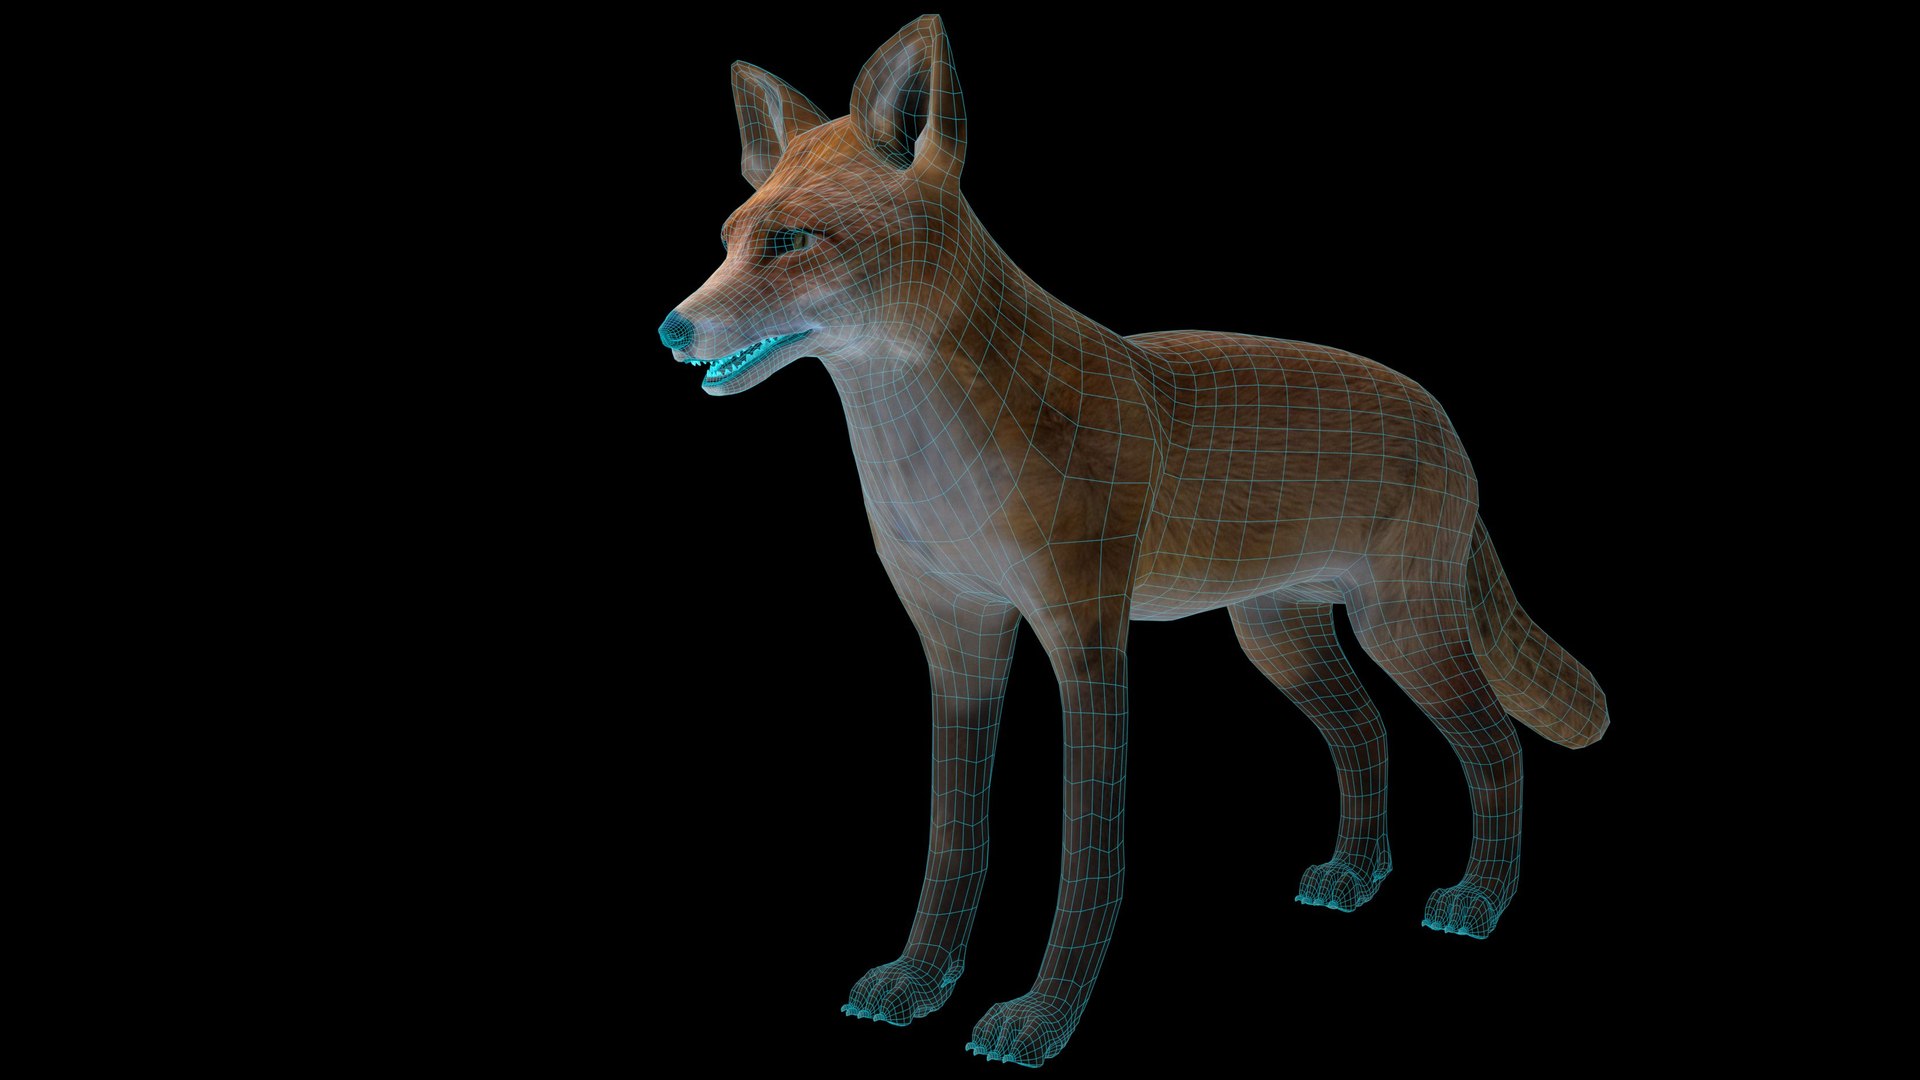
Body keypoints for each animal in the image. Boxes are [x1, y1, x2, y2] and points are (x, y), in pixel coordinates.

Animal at [659, 14, 1608, 1068]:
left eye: (787, 242)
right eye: (728, 241)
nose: (672, 330)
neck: (934, 457)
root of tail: (1440, 413)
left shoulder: (1087, 638)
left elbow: (1089, 850)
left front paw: (1039, 1020)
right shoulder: (957, 639)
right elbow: (955, 836)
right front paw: (918, 982)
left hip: (1403, 627)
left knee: (1496, 745)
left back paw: (1477, 901)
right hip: (1279, 636)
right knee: (1367, 734)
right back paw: (1353, 878)